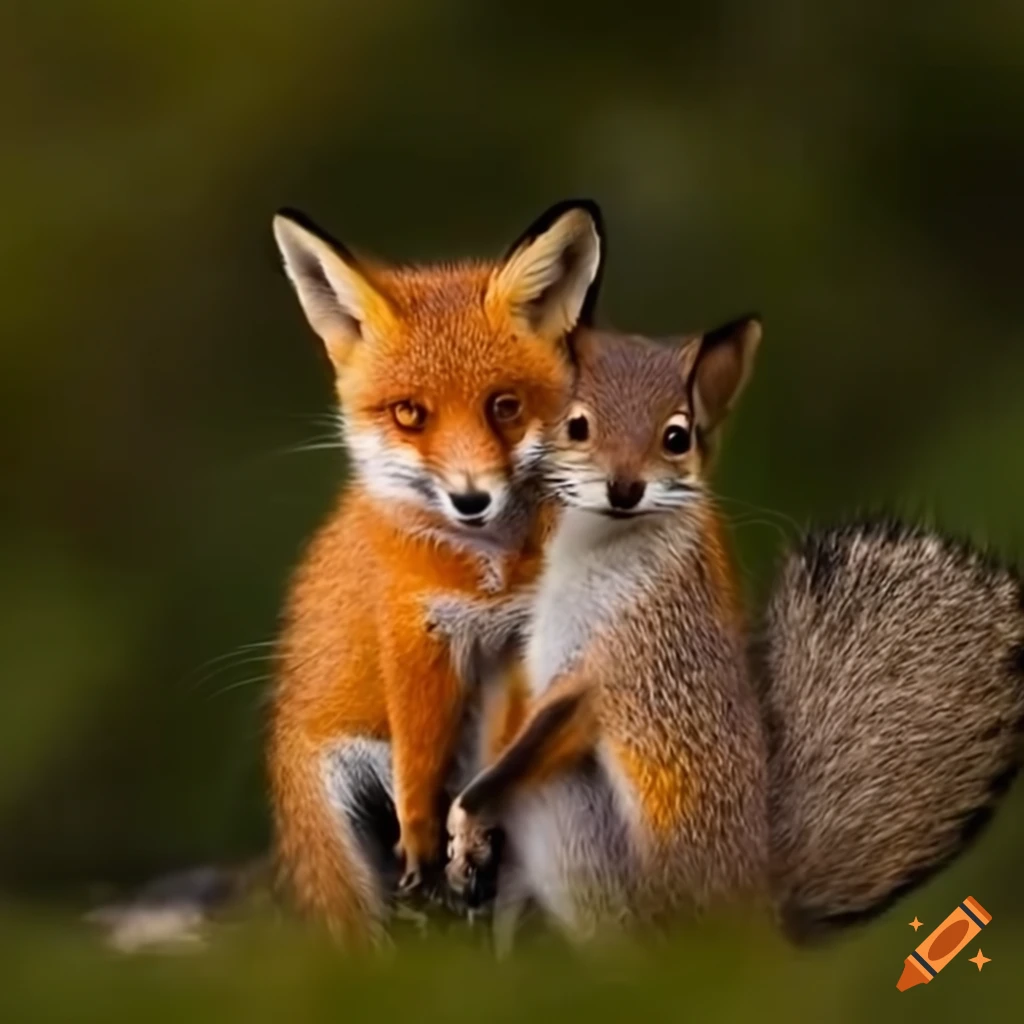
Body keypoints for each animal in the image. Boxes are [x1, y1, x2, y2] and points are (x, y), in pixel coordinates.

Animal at [263, 199, 607, 946]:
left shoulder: (518, 637)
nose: (471, 500)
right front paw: (425, 842)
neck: (484, 573)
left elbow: (489, 775)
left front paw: (468, 840)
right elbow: (419, 762)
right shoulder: (414, 627)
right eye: (409, 413)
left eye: (504, 406)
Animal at [436, 322, 1024, 949]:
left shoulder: (615, 660)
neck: (602, 545)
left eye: (677, 437)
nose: (624, 488)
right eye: (576, 426)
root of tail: (753, 925)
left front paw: (465, 819)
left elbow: (530, 746)